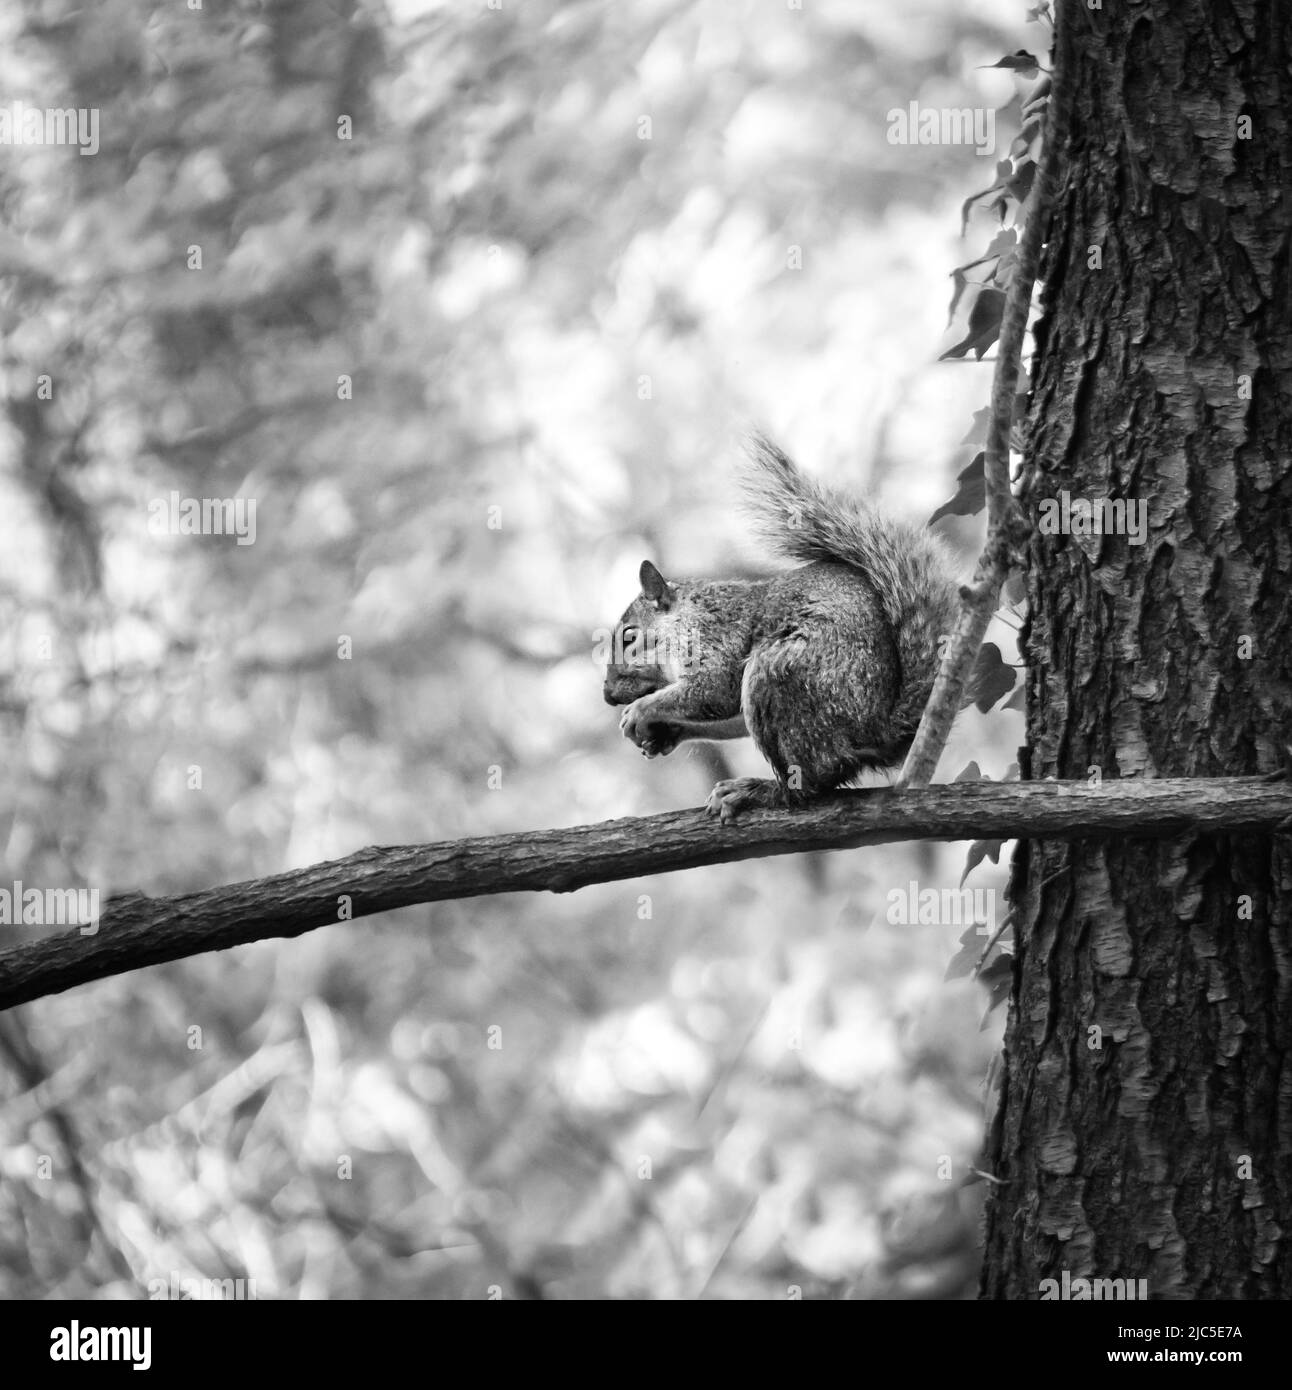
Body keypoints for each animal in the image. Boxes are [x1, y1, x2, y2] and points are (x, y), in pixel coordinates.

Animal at [600, 433, 951, 817]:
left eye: (630, 637)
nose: (607, 694)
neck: (686, 618)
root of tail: (876, 730)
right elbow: (728, 713)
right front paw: (665, 733)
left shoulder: (716, 637)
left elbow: (713, 691)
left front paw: (640, 711)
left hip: (781, 673)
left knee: (814, 778)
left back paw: (759, 790)